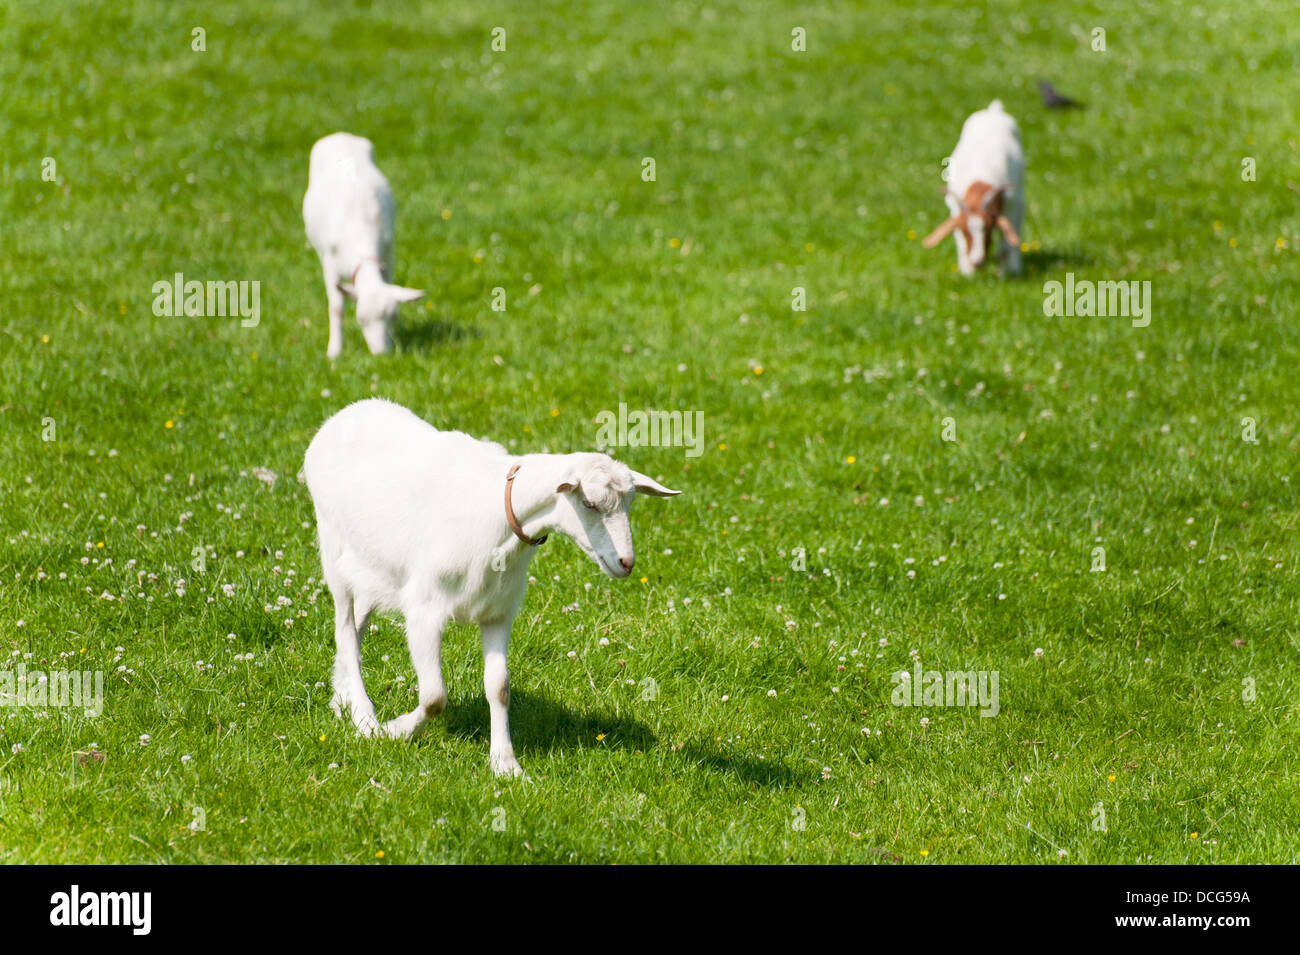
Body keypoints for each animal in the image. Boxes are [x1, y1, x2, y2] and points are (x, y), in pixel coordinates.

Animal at [302, 133, 425, 358]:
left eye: (393, 316)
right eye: (361, 319)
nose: (381, 354)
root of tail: (340, 135)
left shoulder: (388, 254)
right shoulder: (330, 263)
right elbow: (337, 306)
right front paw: (334, 351)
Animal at [302, 398, 682, 777]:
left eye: (630, 504)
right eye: (588, 503)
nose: (626, 562)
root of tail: (349, 412)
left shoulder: (498, 611)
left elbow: (499, 687)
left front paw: (505, 763)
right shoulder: (424, 608)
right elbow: (434, 696)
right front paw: (396, 730)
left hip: (371, 569)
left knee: (356, 628)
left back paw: (342, 698)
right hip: (333, 547)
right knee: (345, 631)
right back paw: (365, 718)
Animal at [922, 100, 1025, 275]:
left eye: (989, 228)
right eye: (965, 230)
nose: (978, 262)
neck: (980, 178)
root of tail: (993, 111)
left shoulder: (1013, 203)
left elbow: (1007, 242)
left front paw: (1007, 272)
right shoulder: (955, 206)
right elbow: (960, 241)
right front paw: (967, 272)